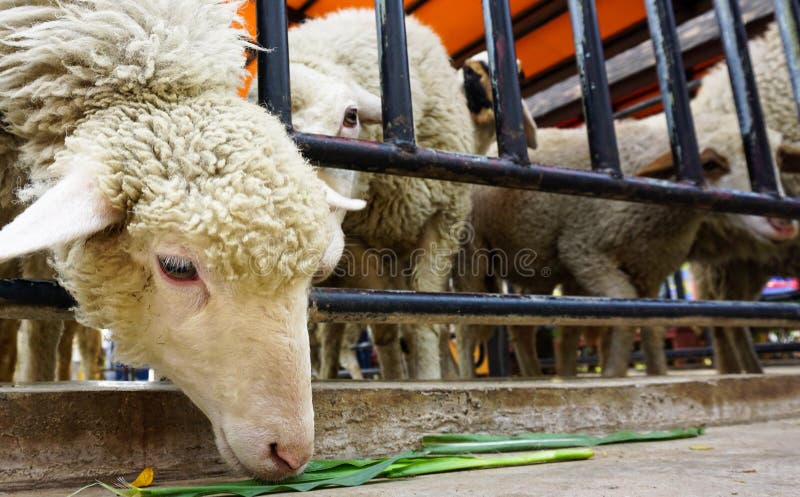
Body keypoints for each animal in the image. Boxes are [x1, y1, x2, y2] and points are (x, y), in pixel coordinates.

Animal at [454, 111, 792, 378]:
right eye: (710, 163)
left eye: (777, 159)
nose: (784, 224)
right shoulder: (582, 248)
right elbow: (623, 303)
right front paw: (613, 371)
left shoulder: (649, 271)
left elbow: (651, 322)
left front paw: (656, 374)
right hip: (474, 257)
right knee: (466, 327)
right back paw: (468, 378)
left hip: (539, 269)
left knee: (524, 328)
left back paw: (542, 375)